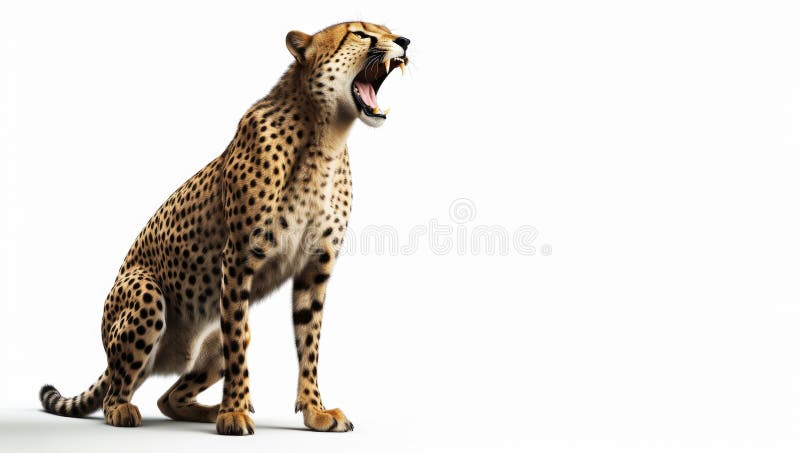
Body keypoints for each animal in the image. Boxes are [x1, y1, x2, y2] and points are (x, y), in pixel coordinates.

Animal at [38, 21, 410, 436]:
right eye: (360, 33)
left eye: (388, 30)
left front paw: (314, 410)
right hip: (144, 291)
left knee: (167, 397)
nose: (405, 41)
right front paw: (234, 412)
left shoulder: (316, 266)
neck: (326, 136)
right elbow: (240, 345)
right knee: (118, 389)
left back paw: (208, 408)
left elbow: (308, 340)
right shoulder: (238, 258)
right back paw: (126, 408)